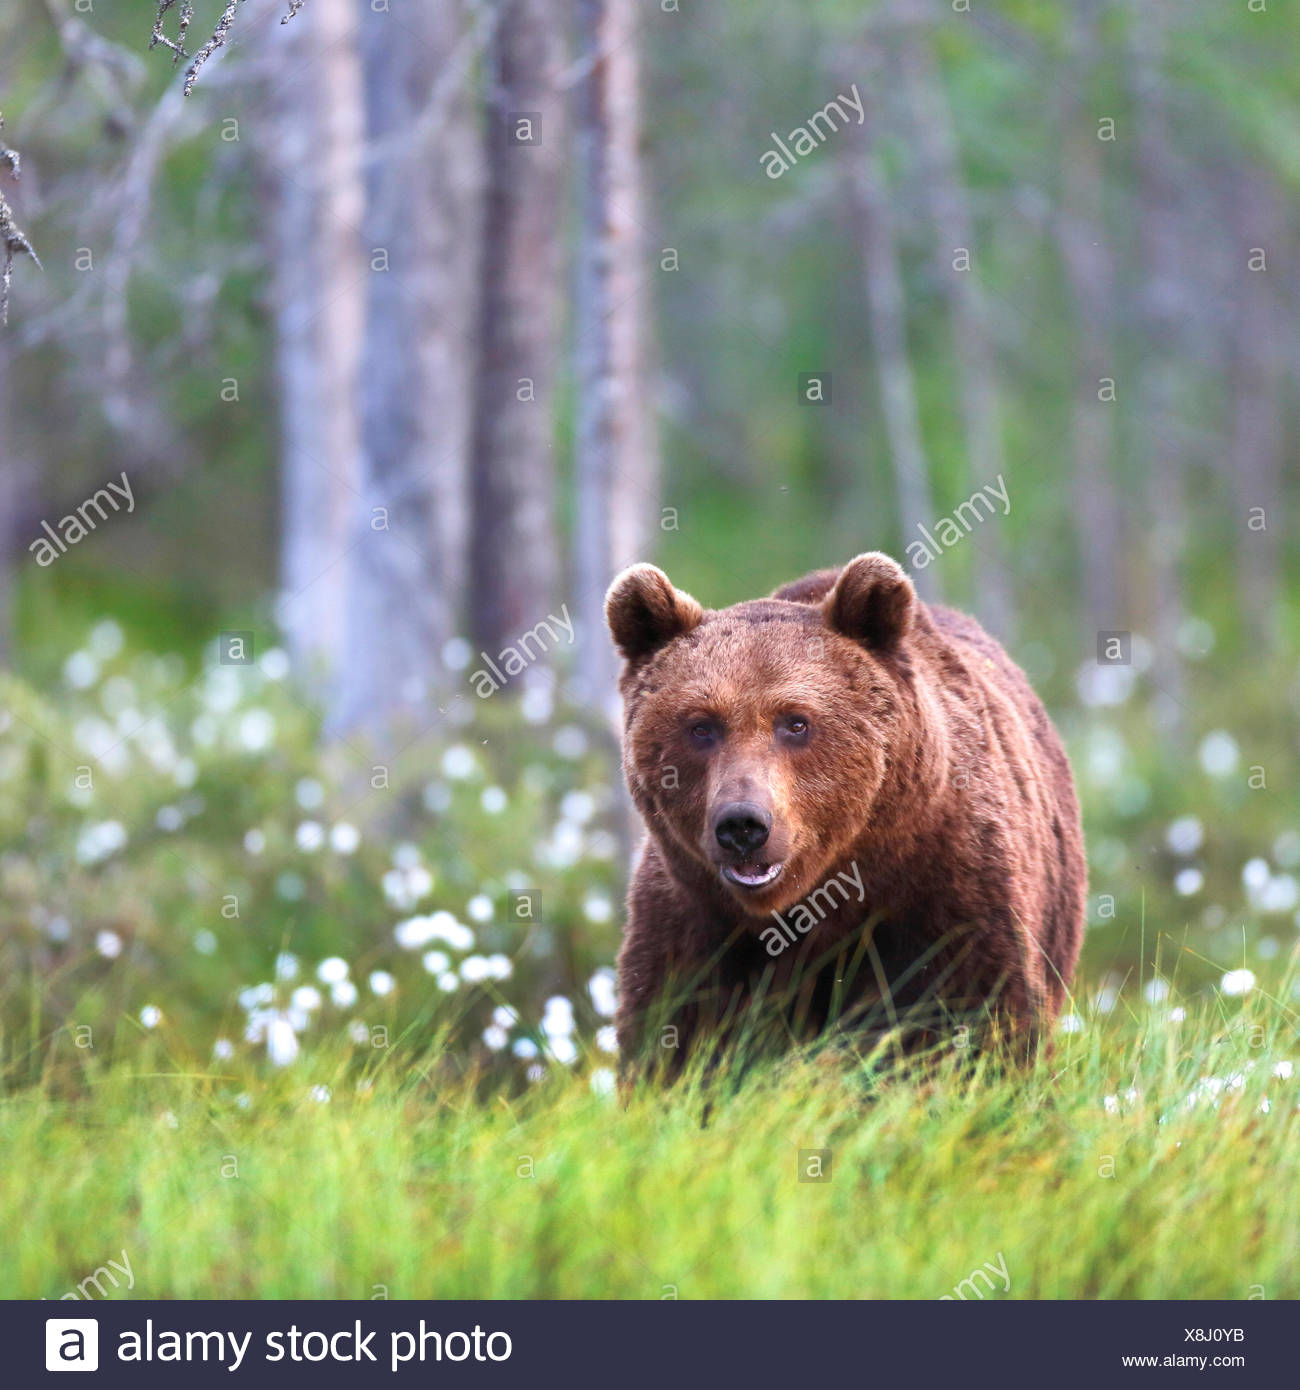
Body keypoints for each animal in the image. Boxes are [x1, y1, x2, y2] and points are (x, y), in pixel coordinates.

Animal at [604, 551, 1086, 1075]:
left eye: (796, 722)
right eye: (701, 726)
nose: (743, 825)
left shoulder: (947, 887)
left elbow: (971, 1015)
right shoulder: (694, 923)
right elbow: (676, 1033)